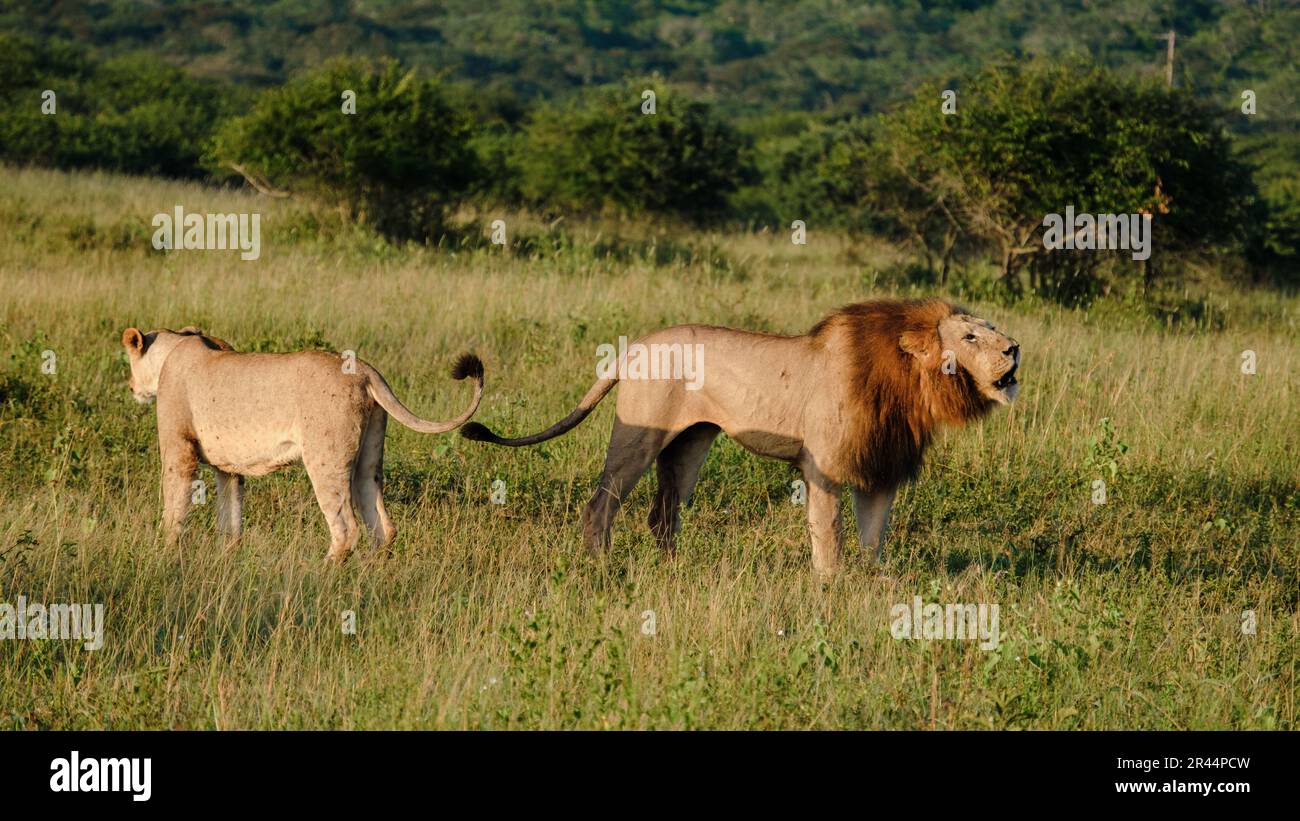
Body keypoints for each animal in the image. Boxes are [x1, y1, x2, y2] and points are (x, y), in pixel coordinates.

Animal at [122, 326, 484, 561]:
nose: (130, 386)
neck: (175, 348)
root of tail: (365, 371)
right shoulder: (230, 468)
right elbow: (231, 519)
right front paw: (227, 561)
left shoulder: (178, 449)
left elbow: (175, 507)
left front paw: (165, 553)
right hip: (369, 460)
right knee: (383, 526)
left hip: (325, 459)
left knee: (346, 529)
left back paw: (321, 574)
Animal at [462, 298, 1019, 575]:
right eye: (970, 336)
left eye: (991, 328)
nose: (1014, 348)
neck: (909, 383)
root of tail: (633, 347)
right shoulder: (824, 466)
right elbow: (830, 534)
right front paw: (830, 586)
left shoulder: (881, 468)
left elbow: (872, 538)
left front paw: (872, 585)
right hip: (639, 438)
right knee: (601, 503)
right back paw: (599, 566)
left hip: (690, 444)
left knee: (663, 512)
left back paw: (673, 572)